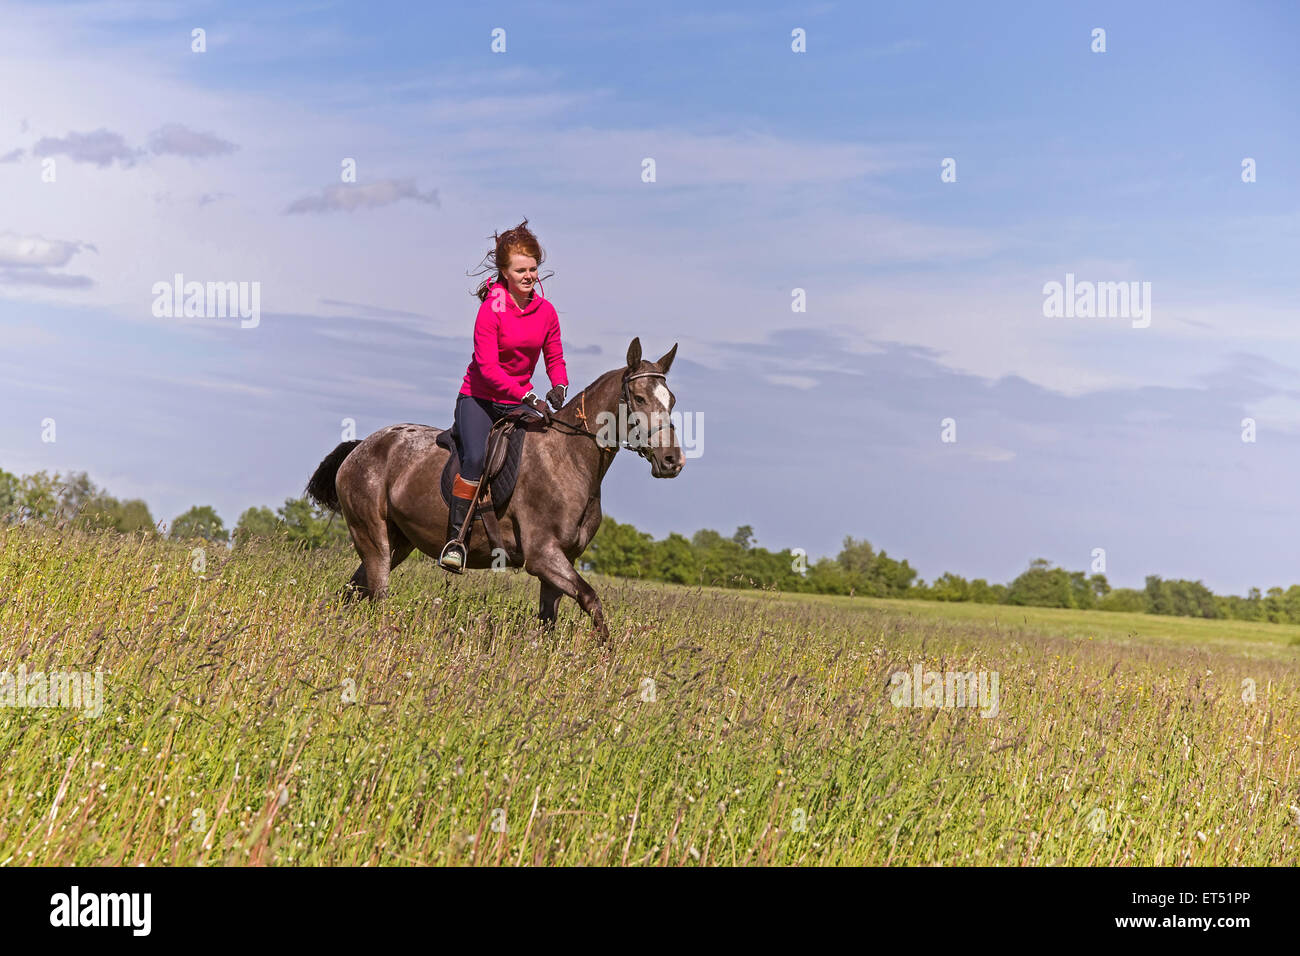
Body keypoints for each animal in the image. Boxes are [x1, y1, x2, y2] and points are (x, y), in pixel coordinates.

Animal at [305, 338, 683, 642]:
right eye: (638, 398)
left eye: (672, 400)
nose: (672, 461)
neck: (570, 457)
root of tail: (360, 447)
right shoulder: (542, 556)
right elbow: (592, 599)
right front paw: (605, 656)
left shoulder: (561, 562)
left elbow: (549, 621)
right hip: (374, 539)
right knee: (378, 593)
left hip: (399, 542)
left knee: (353, 591)